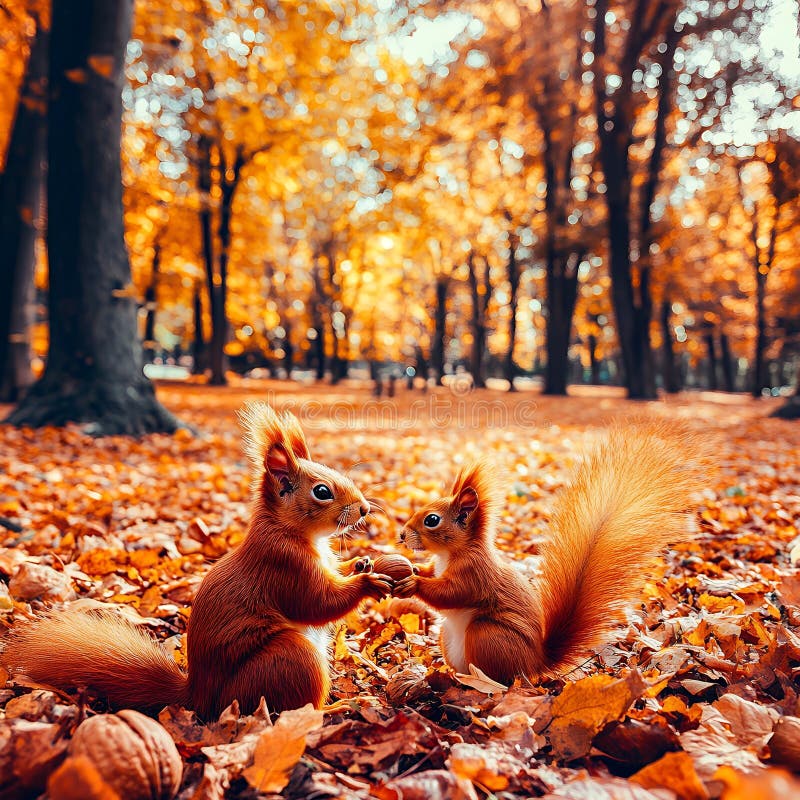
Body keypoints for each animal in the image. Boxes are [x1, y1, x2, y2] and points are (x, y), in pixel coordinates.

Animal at [3, 402, 393, 718]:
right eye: (322, 491)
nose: (364, 508)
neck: (292, 532)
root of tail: (200, 699)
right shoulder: (282, 565)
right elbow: (317, 603)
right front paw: (367, 582)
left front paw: (361, 563)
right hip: (286, 661)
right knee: (295, 709)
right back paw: (336, 708)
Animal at [394, 424, 701, 685]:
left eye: (432, 520)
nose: (401, 535)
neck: (451, 552)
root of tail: (534, 664)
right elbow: (432, 575)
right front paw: (412, 569)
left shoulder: (475, 572)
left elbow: (452, 593)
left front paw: (414, 583)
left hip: (488, 636)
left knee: (500, 680)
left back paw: (478, 684)